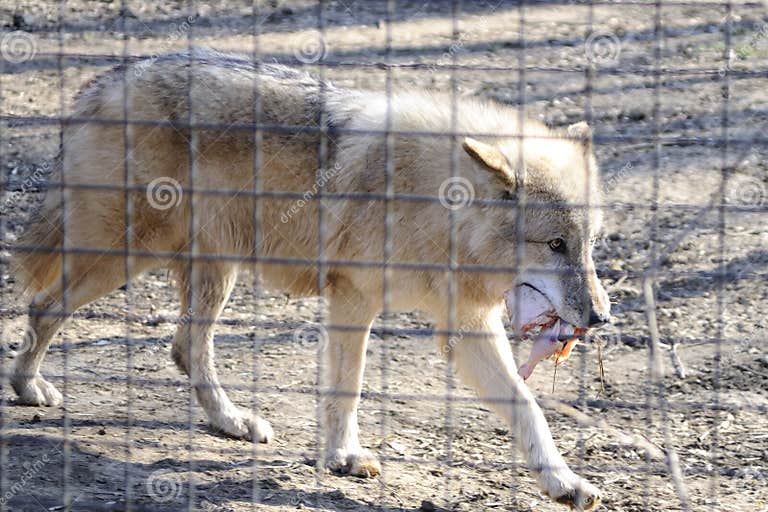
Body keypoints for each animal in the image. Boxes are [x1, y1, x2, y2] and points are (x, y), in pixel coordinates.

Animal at [11, 49, 610, 510]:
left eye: (589, 244)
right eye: (555, 245)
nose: (601, 316)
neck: (433, 204)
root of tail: (107, 79)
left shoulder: (465, 325)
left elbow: (529, 409)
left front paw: (564, 482)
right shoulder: (354, 298)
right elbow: (348, 387)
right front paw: (344, 457)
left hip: (214, 270)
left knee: (185, 348)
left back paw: (231, 421)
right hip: (124, 256)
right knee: (43, 306)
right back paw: (27, 388)